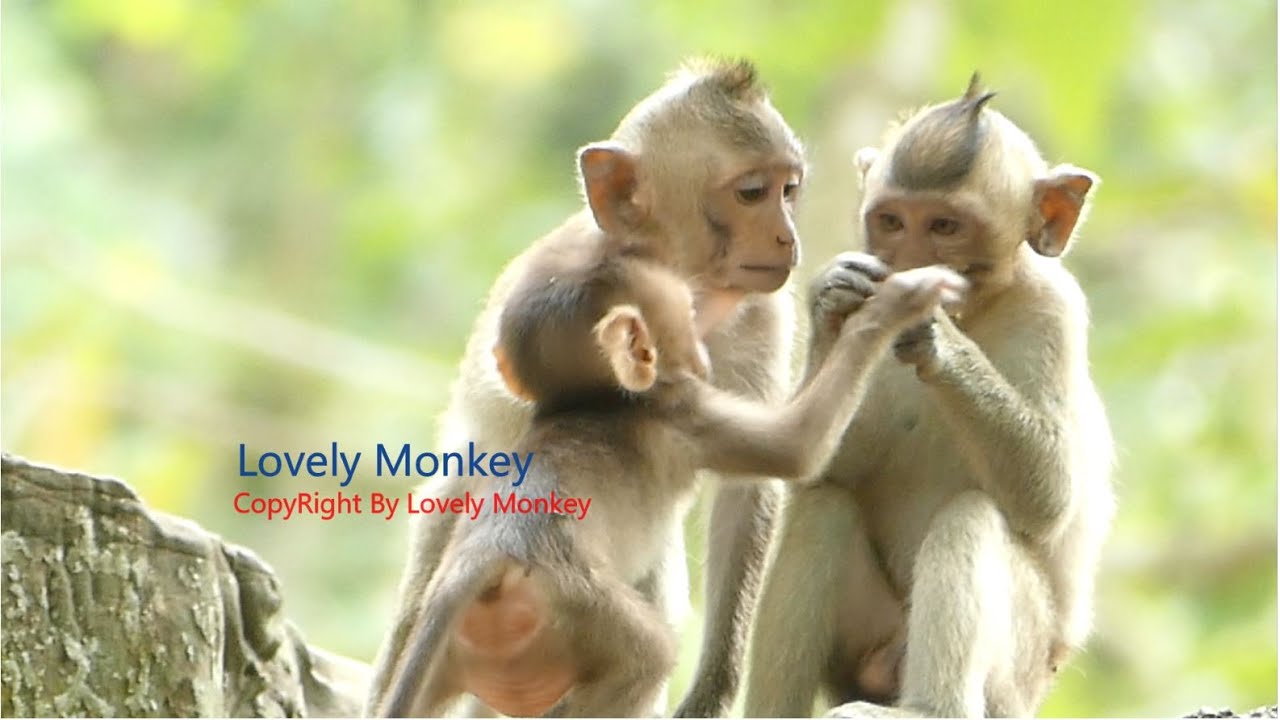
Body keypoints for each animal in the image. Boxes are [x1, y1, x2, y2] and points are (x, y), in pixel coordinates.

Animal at [365, 59, 810, 718]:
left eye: (790, 189)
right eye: (752, 192)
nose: (787, 238)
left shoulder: (763, 312)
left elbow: (744, 488)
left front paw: (711, 690)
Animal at [375, 241, 967, 717]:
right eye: (685, 312)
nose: (702, 352)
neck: (599, 397)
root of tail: (486, 560)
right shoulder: (685, 410)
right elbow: (796, 447)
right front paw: (891, 306)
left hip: (450, 654)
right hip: (580, 613)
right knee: (647, 657)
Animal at [743, 75, 1115, 718]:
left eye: (944, 227)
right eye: (892, 221)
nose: (909, 263)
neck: (982, 306)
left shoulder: (1054, 309)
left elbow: (1048, 495)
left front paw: (935, 332)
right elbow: (816, 465)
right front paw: (832, 301)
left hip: (1013, 676)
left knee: (973, 515)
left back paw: (928, 707)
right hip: (867, 649)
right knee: (823, 507)